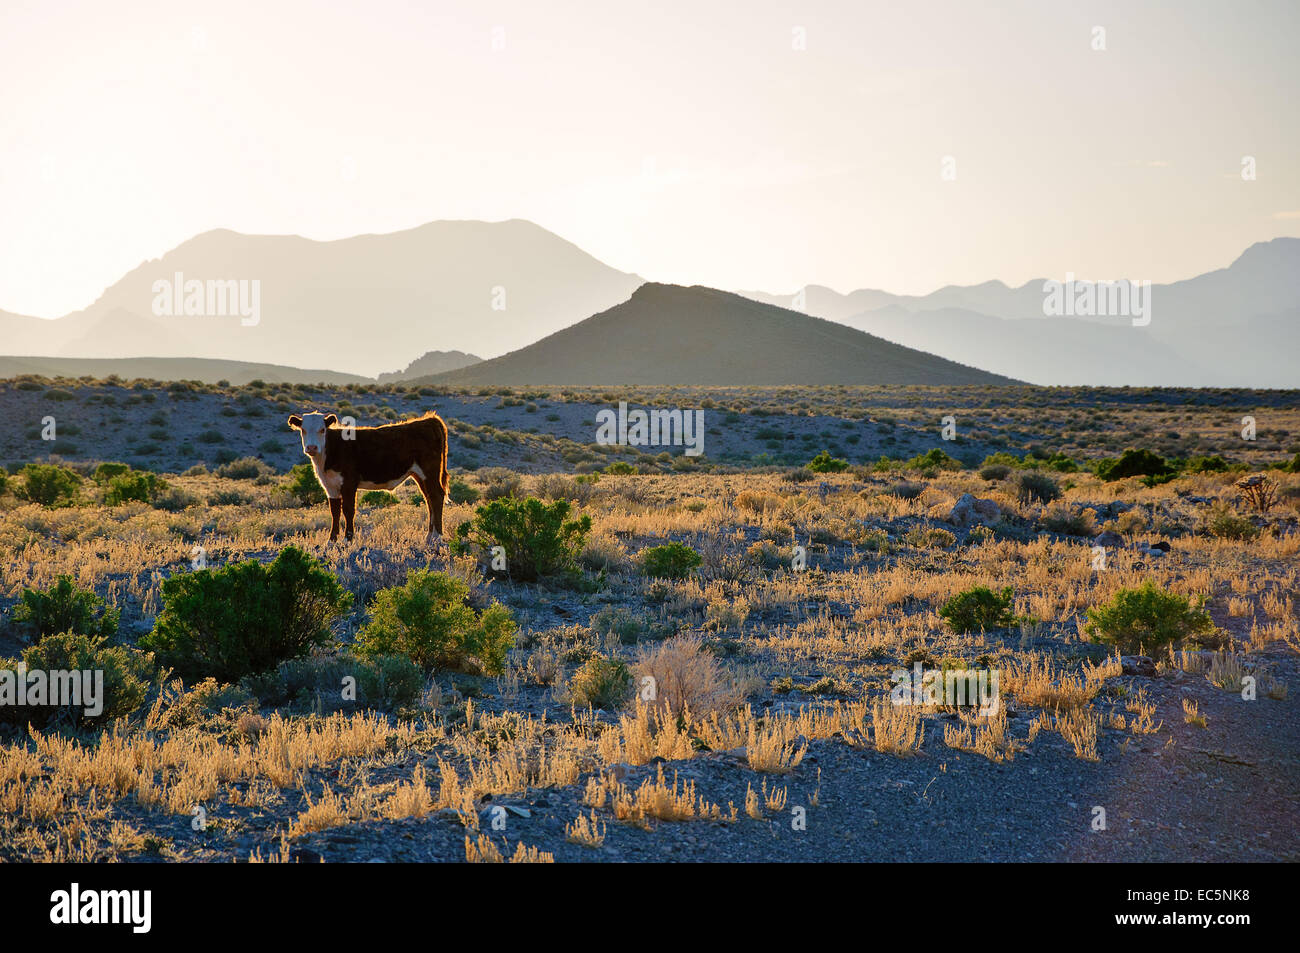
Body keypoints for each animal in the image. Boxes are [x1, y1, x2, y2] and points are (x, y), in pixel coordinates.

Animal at [287, 411, 449, 545]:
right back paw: (429, 536)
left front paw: (347, 539)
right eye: (303, 430)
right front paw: (331, 540)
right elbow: (334, 511)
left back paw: (437, 536)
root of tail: (429, 420)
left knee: (436, 496)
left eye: (322, 430)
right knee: (429, 499)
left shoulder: (349, 483)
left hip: (430, 471)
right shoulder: (330, 485)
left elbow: (348, 510)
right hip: (419, 475)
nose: (311, 447)